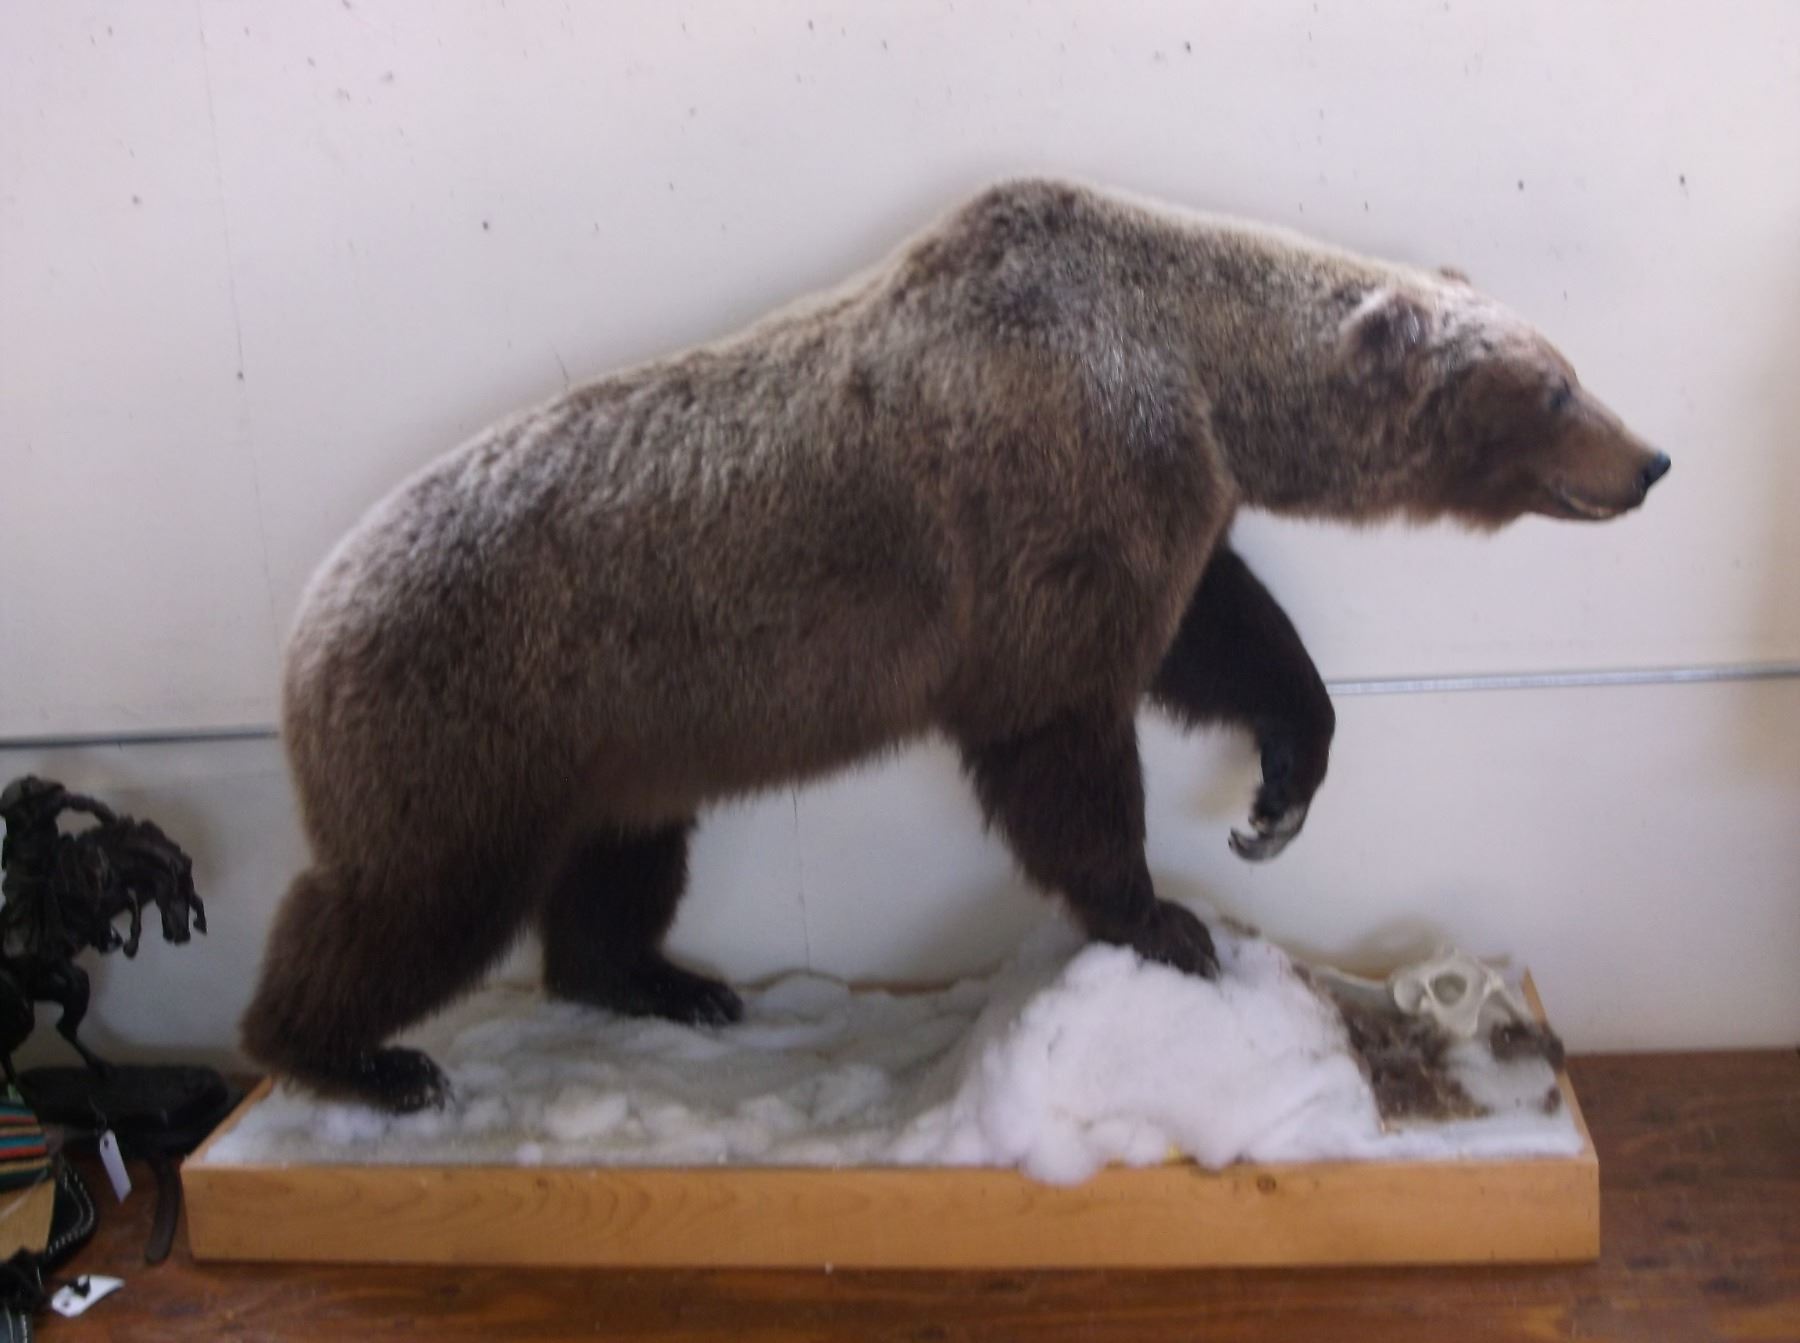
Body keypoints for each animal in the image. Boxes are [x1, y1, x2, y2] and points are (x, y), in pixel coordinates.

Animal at [240, 180, 1669, 1112]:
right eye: (1554, 385)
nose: (1651, 458)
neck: (1198, 373)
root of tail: (304, 613)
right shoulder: (1052, 497)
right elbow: (1062, 731)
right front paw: (1163, 916)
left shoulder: (1169, 502)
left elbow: (1226, 635)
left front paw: (1280, 790)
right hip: (472, 704)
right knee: (408, 896)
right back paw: (356, 1054)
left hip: (620, 735)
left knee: (619, 863)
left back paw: (672, 982)